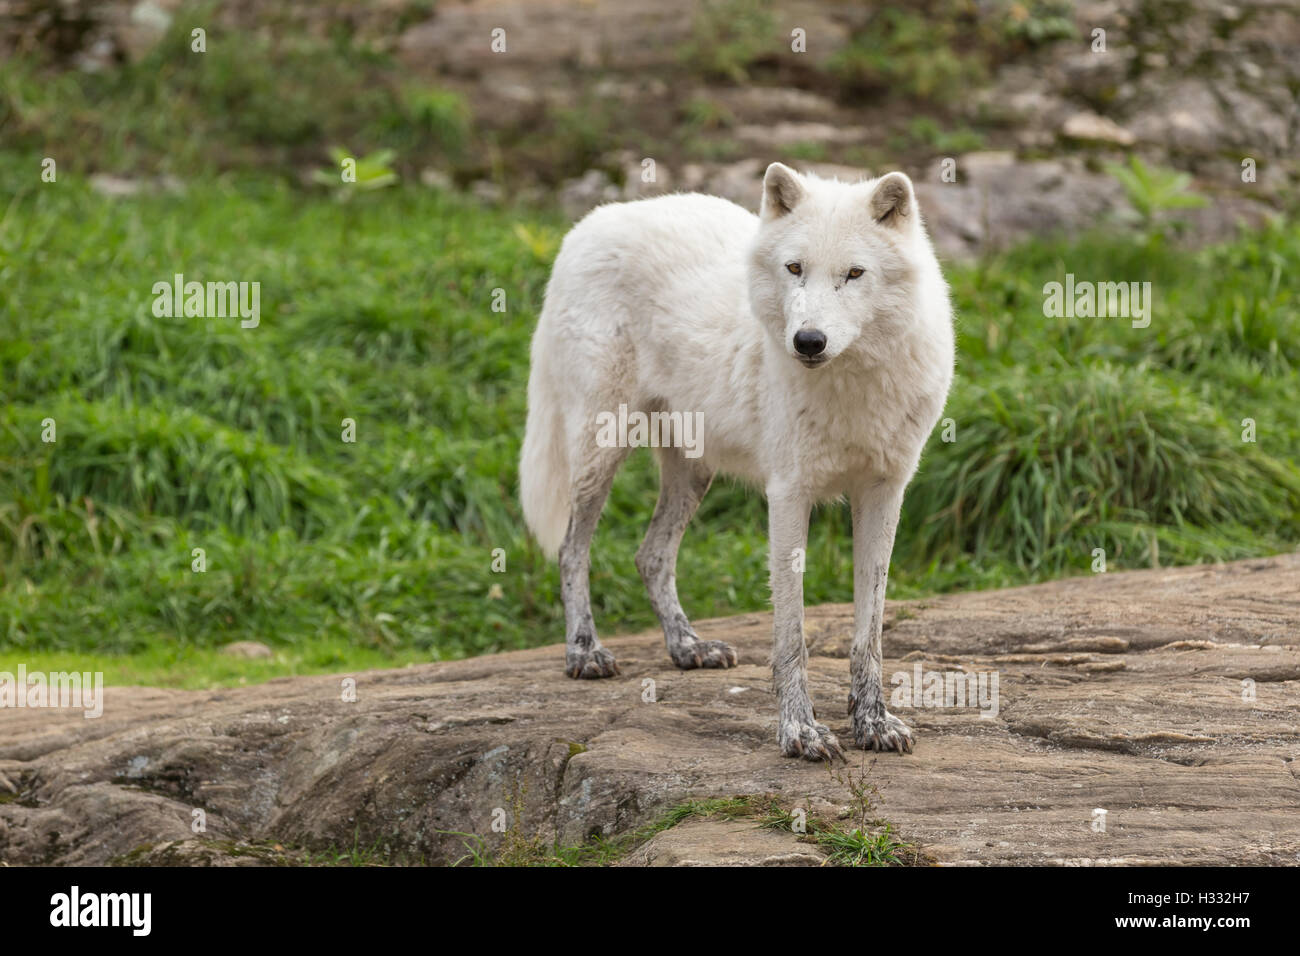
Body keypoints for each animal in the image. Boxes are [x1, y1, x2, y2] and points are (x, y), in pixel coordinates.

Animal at [520, 163, 954, 759]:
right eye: (794, 268)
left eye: (854, 274)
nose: (808, 341)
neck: (850, 384)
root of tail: (589, 224)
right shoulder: (789, 493)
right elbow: (792, 634)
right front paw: (800, 732)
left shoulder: (885, 492)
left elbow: (869, 631)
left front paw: (872, 722)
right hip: (599, 452)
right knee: (570, 550)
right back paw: (585, 652)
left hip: (692, 471)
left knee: (650, 555)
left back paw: (687, 646)